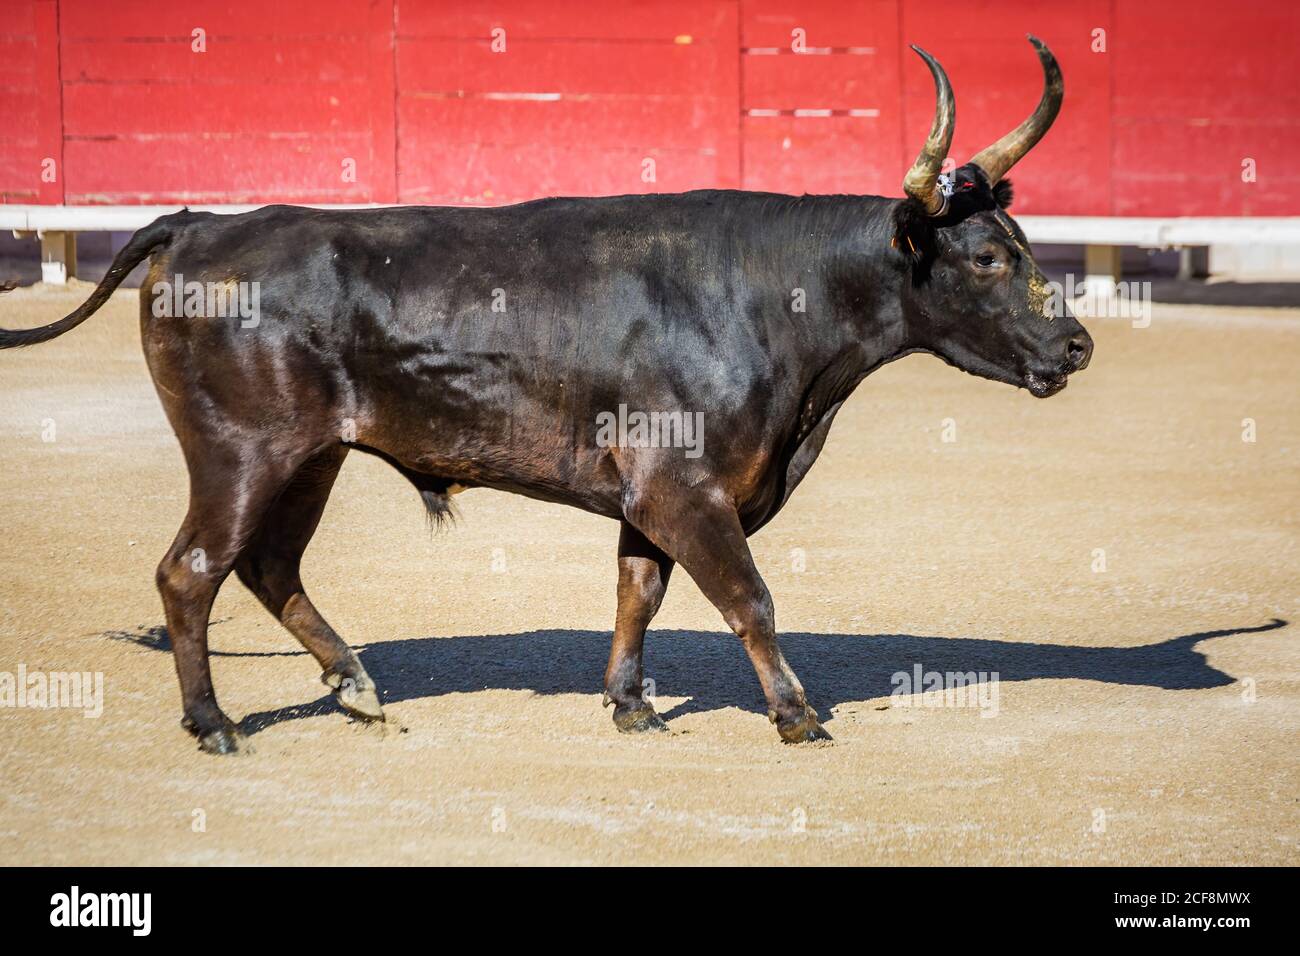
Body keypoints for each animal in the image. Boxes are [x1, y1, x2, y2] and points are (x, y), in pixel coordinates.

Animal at [0, 38, 1091, 754]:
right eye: (989, 256)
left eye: (1021, 243)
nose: (1077, 343)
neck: (782, 306)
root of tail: (200, 225)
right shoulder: (685, 488)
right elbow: (749, 597)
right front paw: (796, 714)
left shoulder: (653, 497)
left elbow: (639, 589)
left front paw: (631, 705)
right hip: (240, 452)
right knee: (191, 571)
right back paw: (216, 723)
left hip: (311, 456)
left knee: (268, 566)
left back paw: (356, 687)